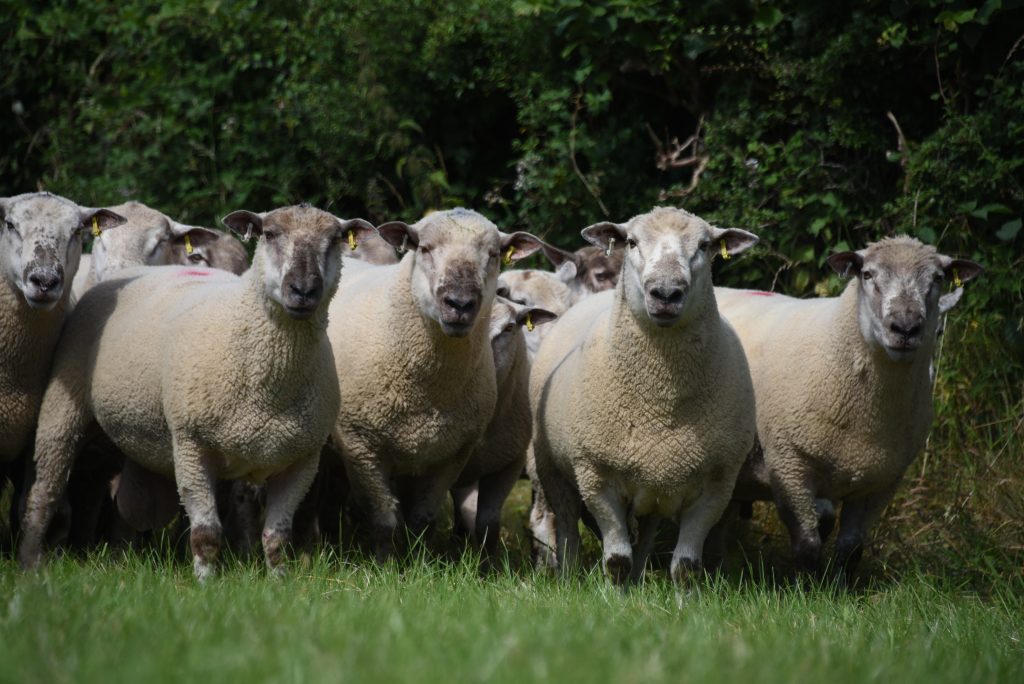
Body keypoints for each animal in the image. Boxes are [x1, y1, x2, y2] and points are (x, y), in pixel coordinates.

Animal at [18, 204, 376, 579]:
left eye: (335, 239)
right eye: (269, 233)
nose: (304, 289)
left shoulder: (301, 460)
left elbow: (277, 537)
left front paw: (279, 581)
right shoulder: (191, 445)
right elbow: (206, 533)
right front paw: (206, 582)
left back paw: (120, 555)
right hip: (64, 404)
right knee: (46, 490)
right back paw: (31, 564)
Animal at [326, 208, 543, 560]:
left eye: (493, 254)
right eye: (424, 248)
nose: (460, 303)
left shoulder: (450, 455)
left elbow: (423, 518)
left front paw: (418, 561)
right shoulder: (361, 447)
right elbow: (384, 519)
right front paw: (384, 564)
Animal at [531, 206, 759, 584]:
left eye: (705, 245)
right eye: (632, 242)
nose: (666, 292)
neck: (662, 398)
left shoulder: (716, 485)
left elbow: (685, 567)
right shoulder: (596, 476)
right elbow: (616, 561)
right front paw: (614, 595)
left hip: (655, 482)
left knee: (646, 536)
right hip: (553, 469)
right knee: (565, 528)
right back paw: (566, 577)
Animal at [714, 236, 982, 579]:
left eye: (937, 278)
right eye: (867, 274)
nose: (905, 327)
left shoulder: (880, 480)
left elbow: (851, 547)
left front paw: (841, 585)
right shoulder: (790, 465)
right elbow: (807, 544)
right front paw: (808, 587)